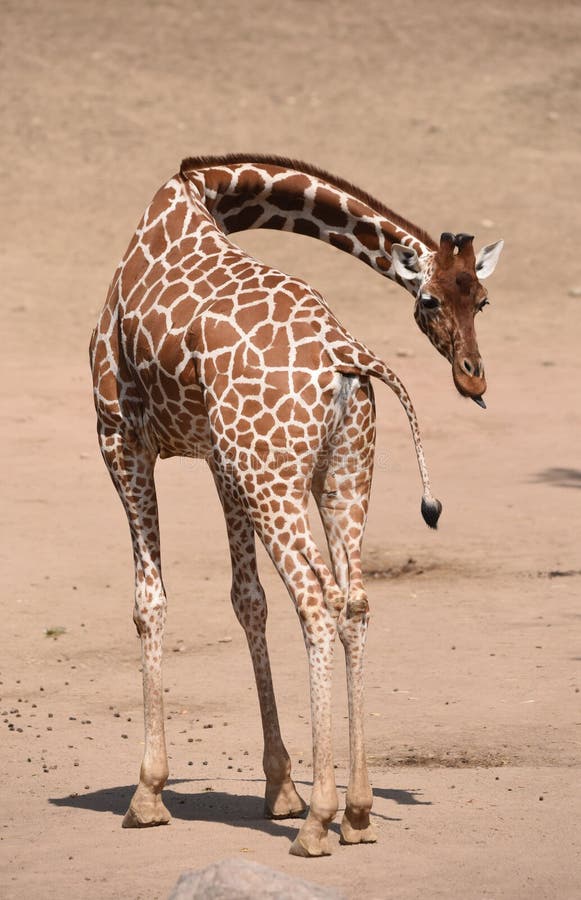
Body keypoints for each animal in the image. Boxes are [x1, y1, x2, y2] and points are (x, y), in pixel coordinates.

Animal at [90, 155, 503, 857]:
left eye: (481, 300)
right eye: (432, 299)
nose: (472, 378)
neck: (205, 195)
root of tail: (347, 355)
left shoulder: (119, 433)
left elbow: (150, 603)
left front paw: (148, 794)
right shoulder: (219, 459)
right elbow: (247, 599)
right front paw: (281, 787)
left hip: (275, 479)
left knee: (316, 600)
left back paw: (319, 823)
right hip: (338, 476)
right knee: (354, 601)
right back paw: (357, 813)